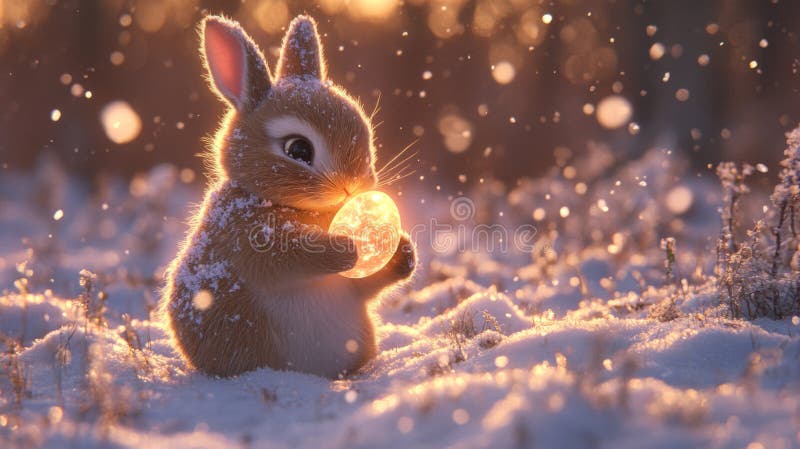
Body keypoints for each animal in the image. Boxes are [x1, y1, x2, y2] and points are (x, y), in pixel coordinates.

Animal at [161, 15, 416, 378]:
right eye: (298, 150)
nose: (355, 186)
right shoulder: (246, 238)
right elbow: (289, 255)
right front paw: (348, 248)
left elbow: (365, 284)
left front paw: (404, 252)